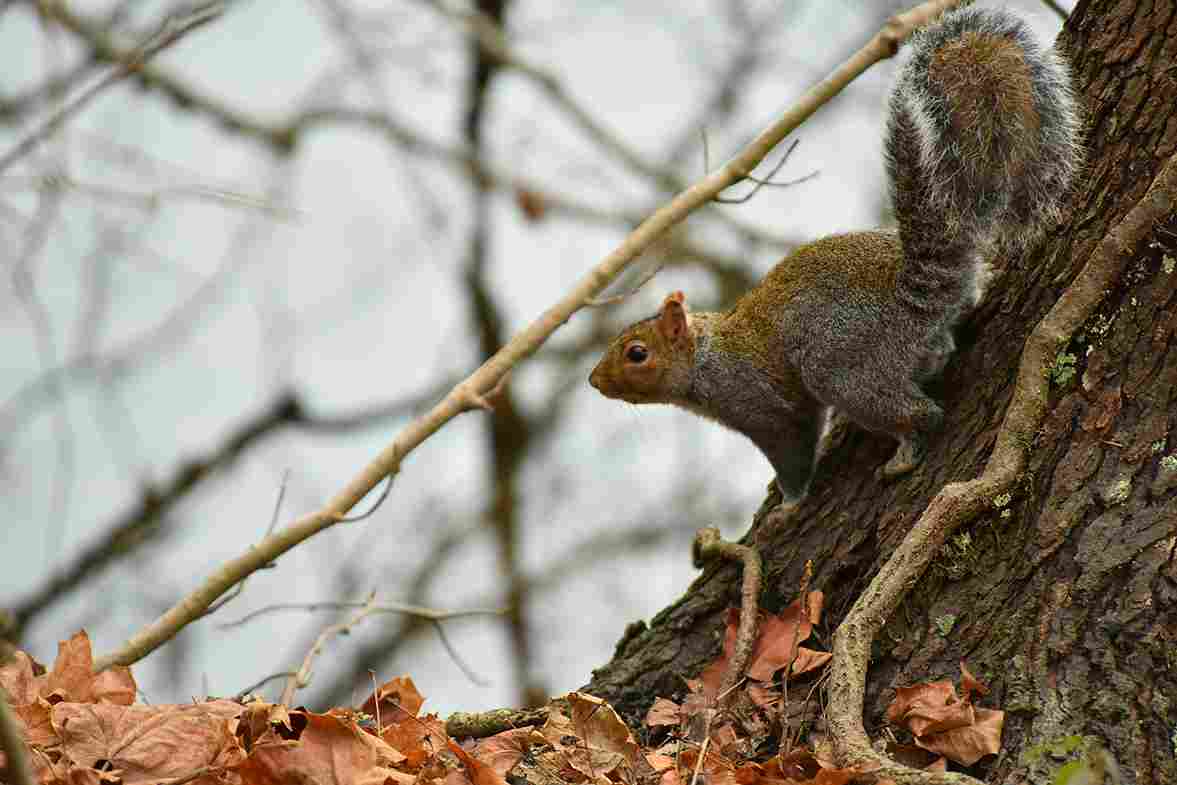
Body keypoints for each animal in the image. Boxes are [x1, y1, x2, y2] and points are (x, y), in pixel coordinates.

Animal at [588, 6, 1083, 502]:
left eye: (636, 353)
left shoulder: (763, 406)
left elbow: (792, 446)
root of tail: (911, 294)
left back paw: (904, 452)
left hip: (842, 368)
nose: (594, 381)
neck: (705, 356)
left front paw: (790, 499)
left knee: (920, 412)